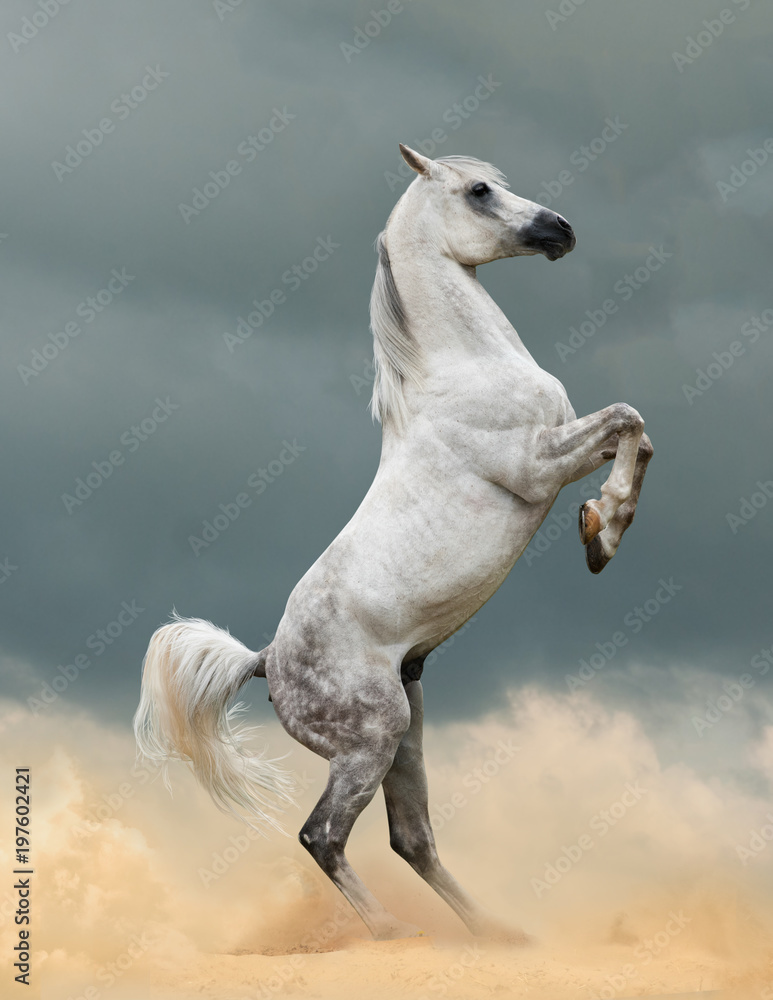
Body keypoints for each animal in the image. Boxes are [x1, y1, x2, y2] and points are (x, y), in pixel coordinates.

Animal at [134, 143, 652, 943]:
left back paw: (496, 934)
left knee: (412, 839)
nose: (560, 230)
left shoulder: (563, 447)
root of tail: (264, 661)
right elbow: (627, 418)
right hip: (372, 739)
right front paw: (601, 530)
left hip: (408, 734)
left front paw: (602, 526)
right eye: (480, 191)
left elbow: (639, 434)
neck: (463, 371)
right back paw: (390, 932)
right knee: (322, 836)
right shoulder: (538, 466)